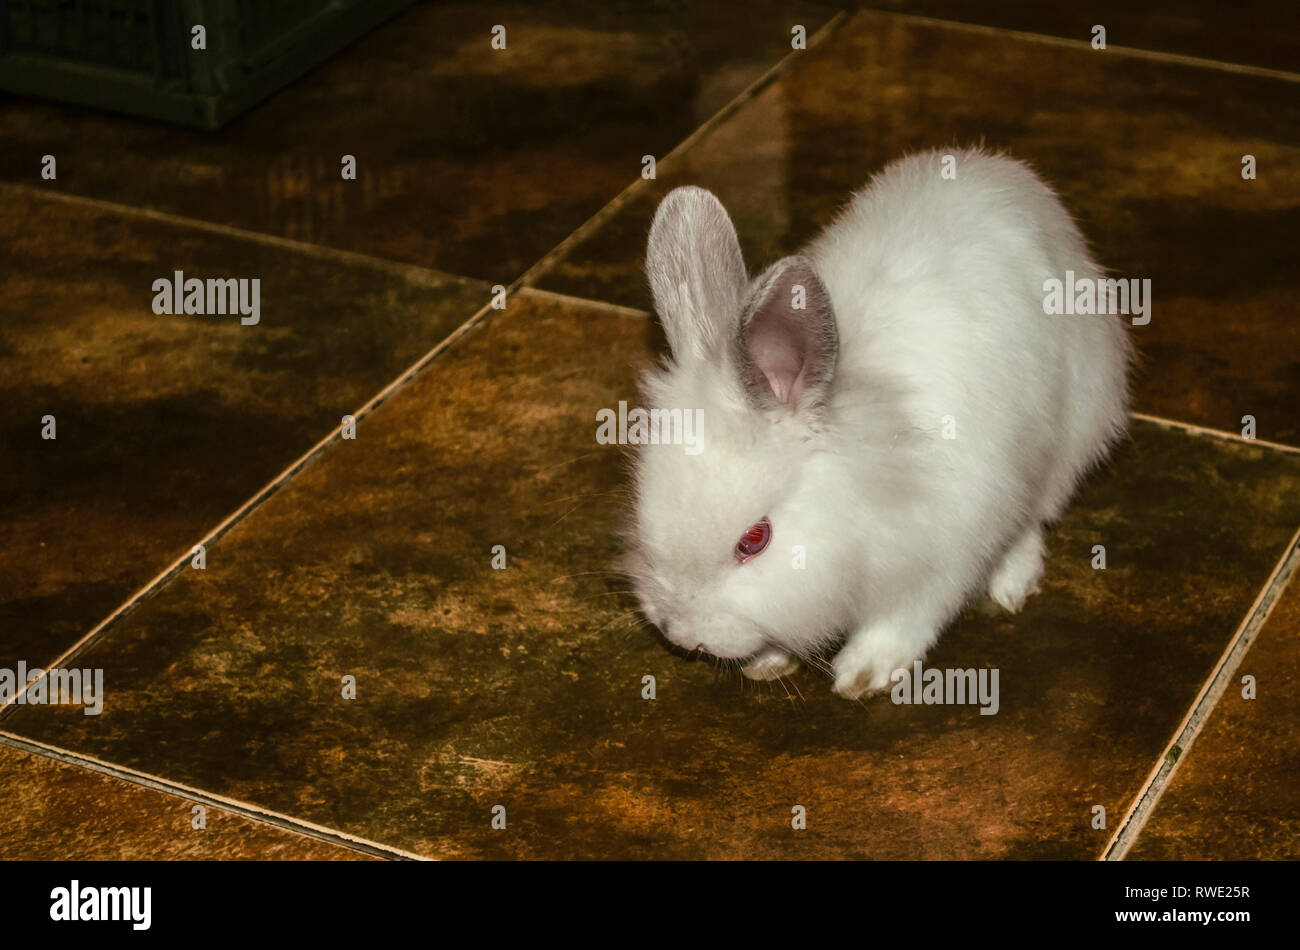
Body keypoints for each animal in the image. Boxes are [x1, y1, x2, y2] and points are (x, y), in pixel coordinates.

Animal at [624, 146, 1131, 699]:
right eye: (642, 506)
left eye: (754, 540)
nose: (681, 633)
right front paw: (770, 660)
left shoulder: (947, 549)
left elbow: (907, 616)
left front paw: (864, 672)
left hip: (1073, 430)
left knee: (1034, 514)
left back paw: (1011, 583)